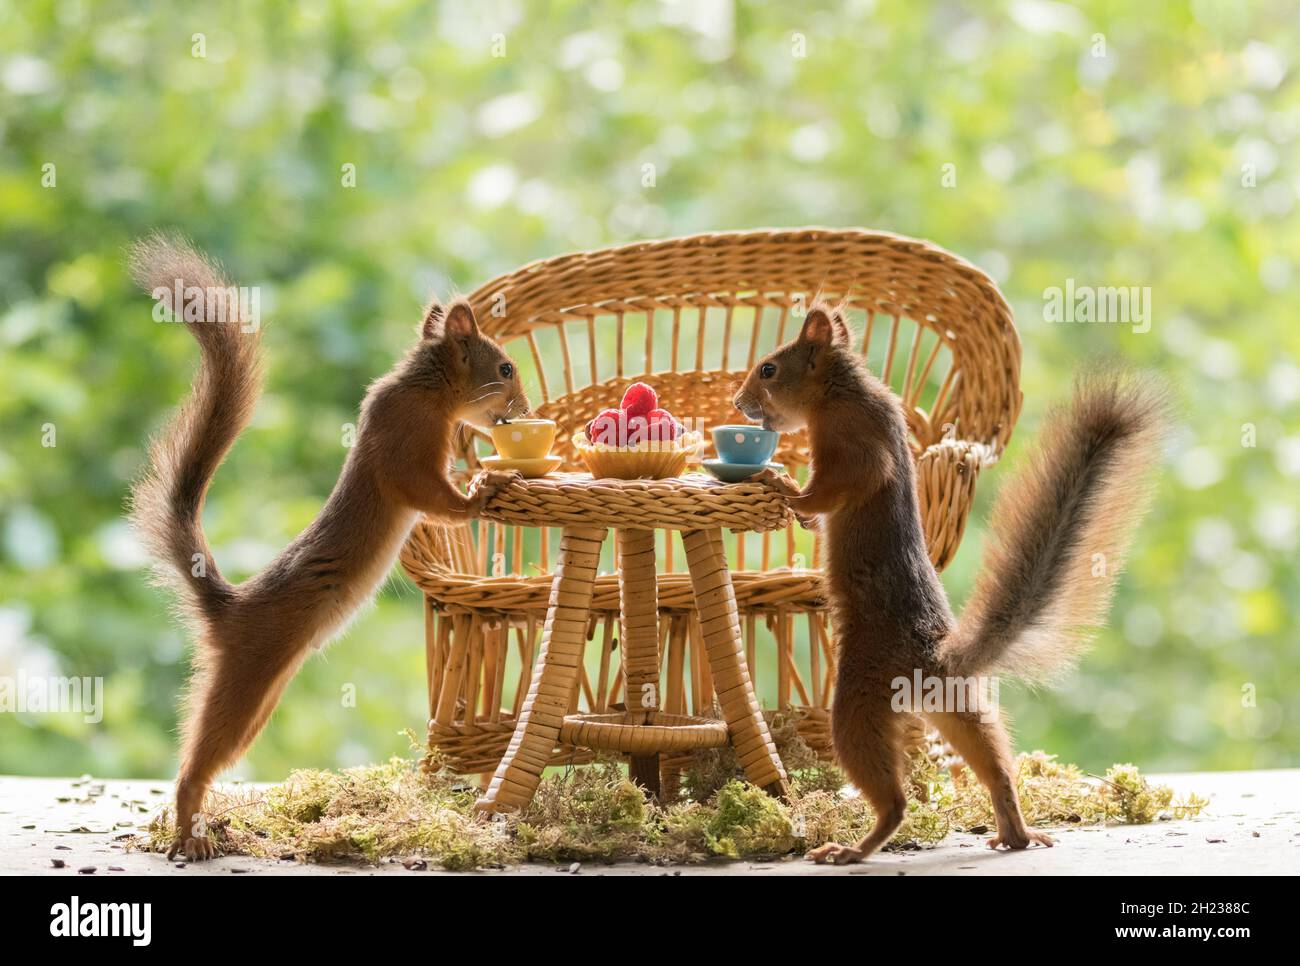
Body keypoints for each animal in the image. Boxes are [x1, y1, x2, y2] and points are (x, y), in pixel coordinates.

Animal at [127, 235, 526, 861]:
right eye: (504, 367)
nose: (527, 407)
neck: (426, 389)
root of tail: (231, 609)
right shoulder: (405, 450)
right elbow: (432, 496)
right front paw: (484, 488)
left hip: (264, 694)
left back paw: (215, 827)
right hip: (247, 677)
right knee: (196, 762)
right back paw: (191, 833)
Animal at [734, 303, 1166, 864]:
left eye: (769, 369)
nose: (738, 402)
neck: (841, 392)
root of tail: (933, 657)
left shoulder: (855, 445)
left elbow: (835, 489)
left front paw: (779, 482)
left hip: (859, 704)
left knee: (894, 801)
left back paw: (852, 848)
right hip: (956, 709)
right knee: (997, 766)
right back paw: (1017, 833)